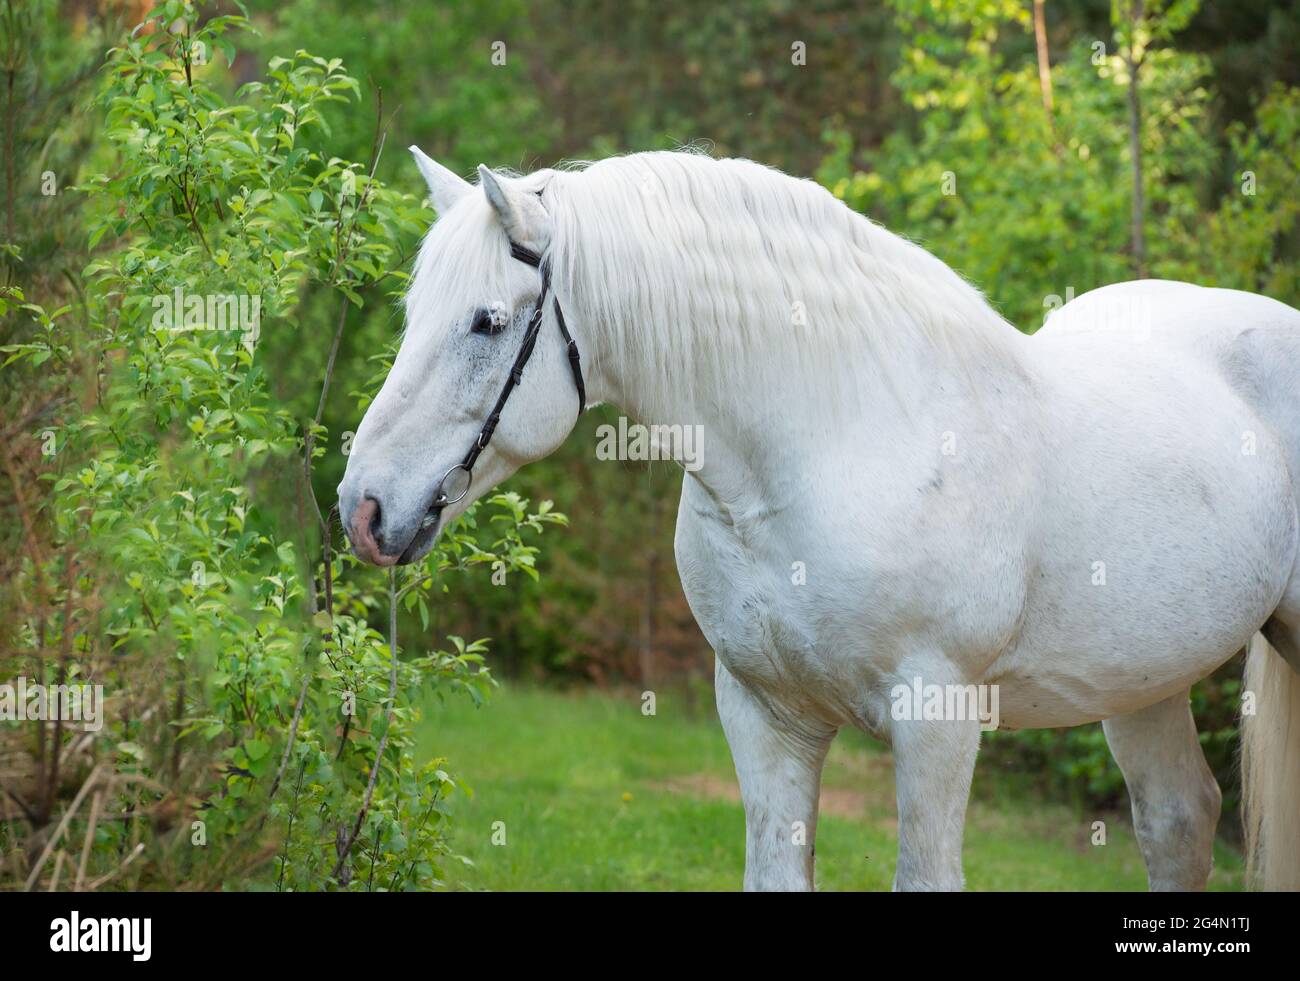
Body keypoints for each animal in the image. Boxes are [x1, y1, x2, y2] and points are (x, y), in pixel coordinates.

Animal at [337, 147, 1300, 891]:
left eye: (487, 321)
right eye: (413, 312)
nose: (363, 506)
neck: (835, 442)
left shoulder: (937, 715)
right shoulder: (765, 713)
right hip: (1142, 682)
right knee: (1179, 821)